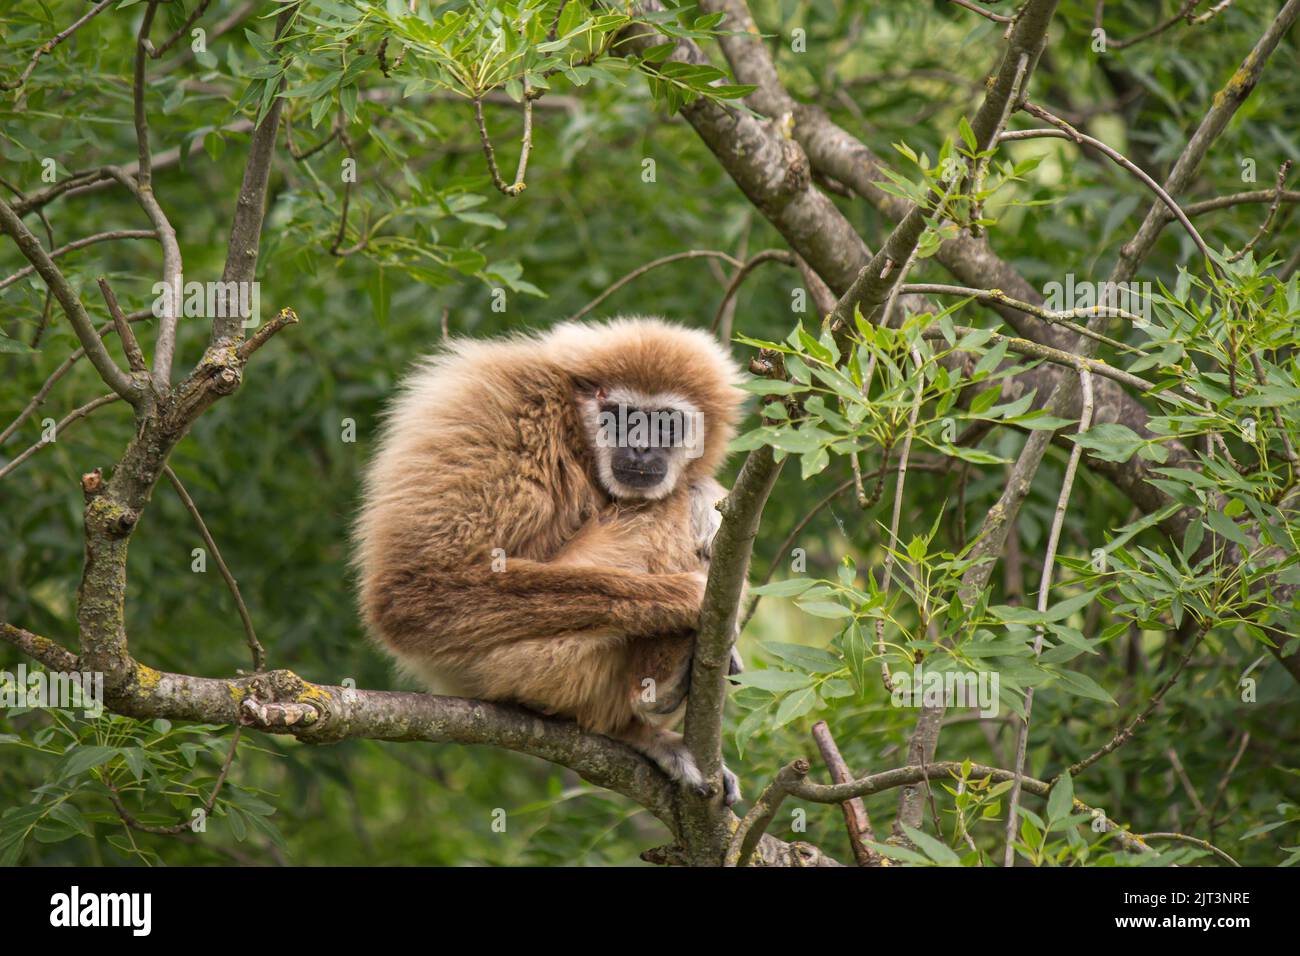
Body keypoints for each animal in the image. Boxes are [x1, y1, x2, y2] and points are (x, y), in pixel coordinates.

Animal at [354, 316, 747, 803]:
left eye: (665, 424)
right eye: (622, 418)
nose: (640, 447)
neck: (576, 434)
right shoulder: (514, 411)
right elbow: (413, 590)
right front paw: (689, 597)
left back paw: (638, 729)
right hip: (523, 664)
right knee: (669, 507)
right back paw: (661, 677)